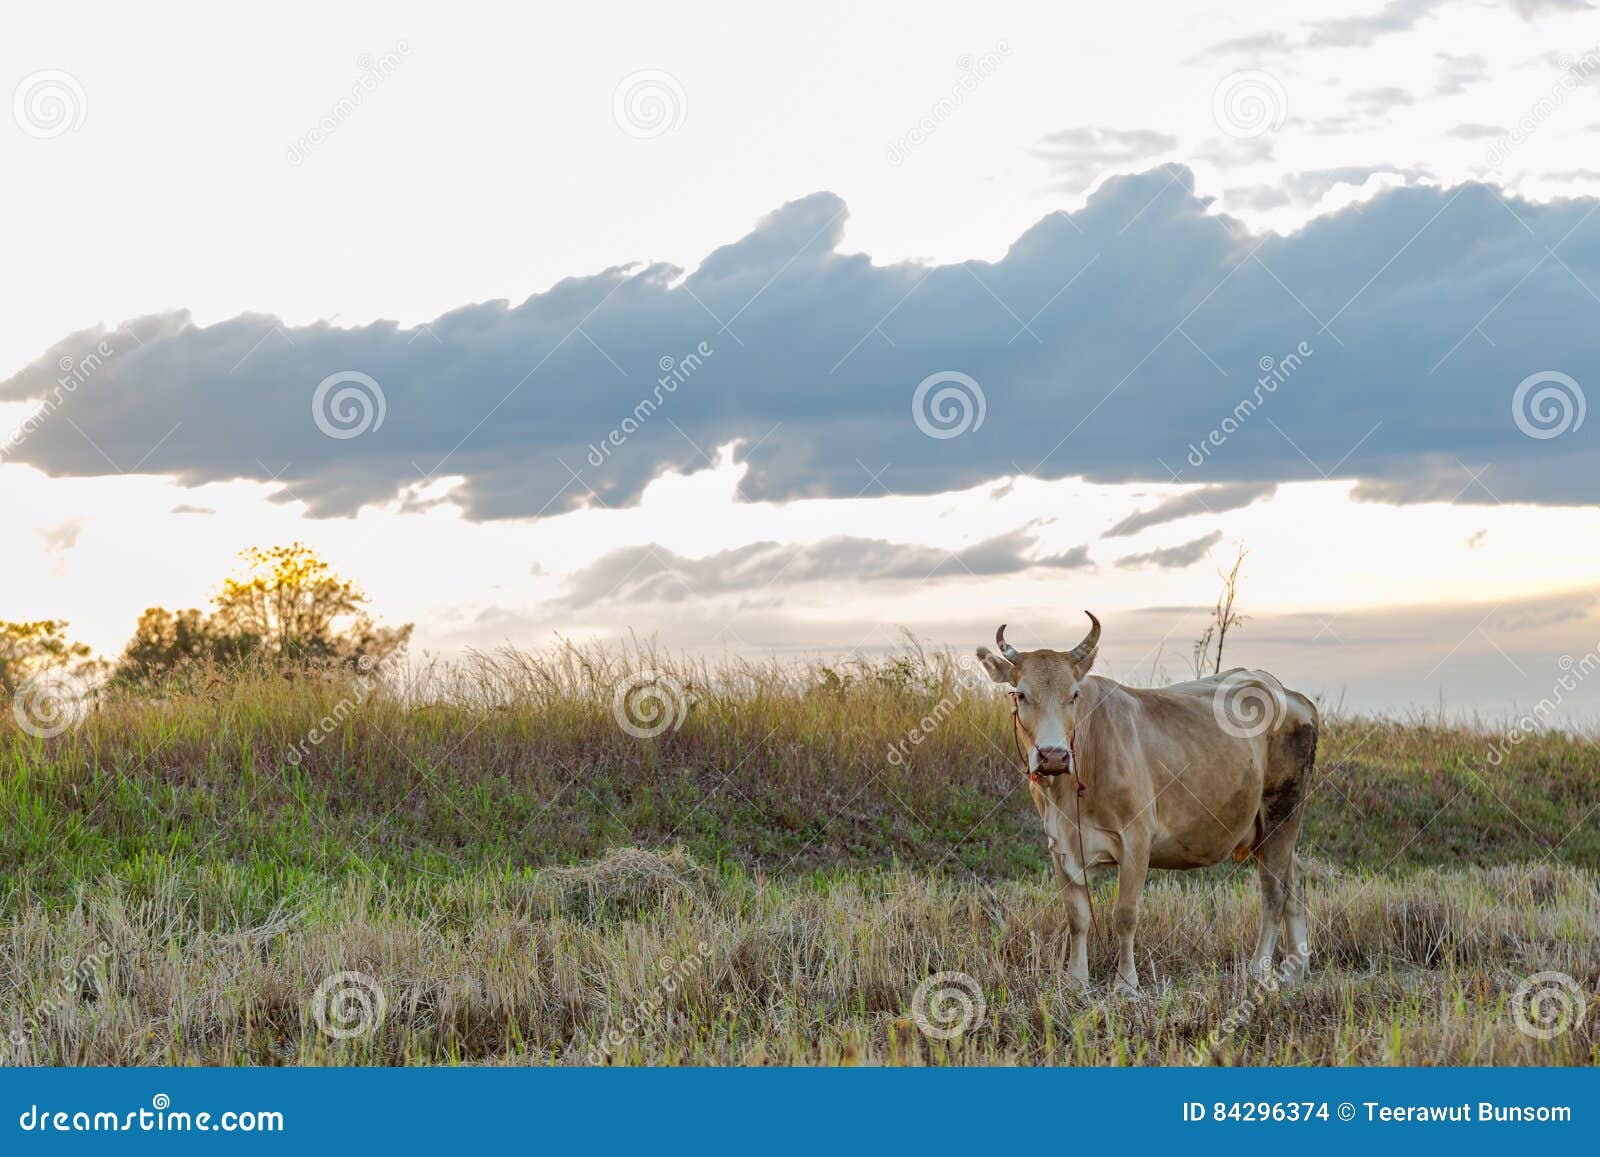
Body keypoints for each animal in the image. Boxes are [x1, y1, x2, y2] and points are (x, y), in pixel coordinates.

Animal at [976, 613, 1319, 995]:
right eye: (1022, 695)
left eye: (1074, 694)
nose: (1053, 755)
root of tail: (1289, 694)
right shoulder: (1059, 846)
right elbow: (1077, 917)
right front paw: (1077, 979)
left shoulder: (1136, 838)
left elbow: (1125, 915)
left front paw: (1126, 983)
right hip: (1269, 829)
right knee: (1295, 878)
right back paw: (1295, 969)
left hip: (1283, 811)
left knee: (1273, 892)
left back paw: (1260, 970)